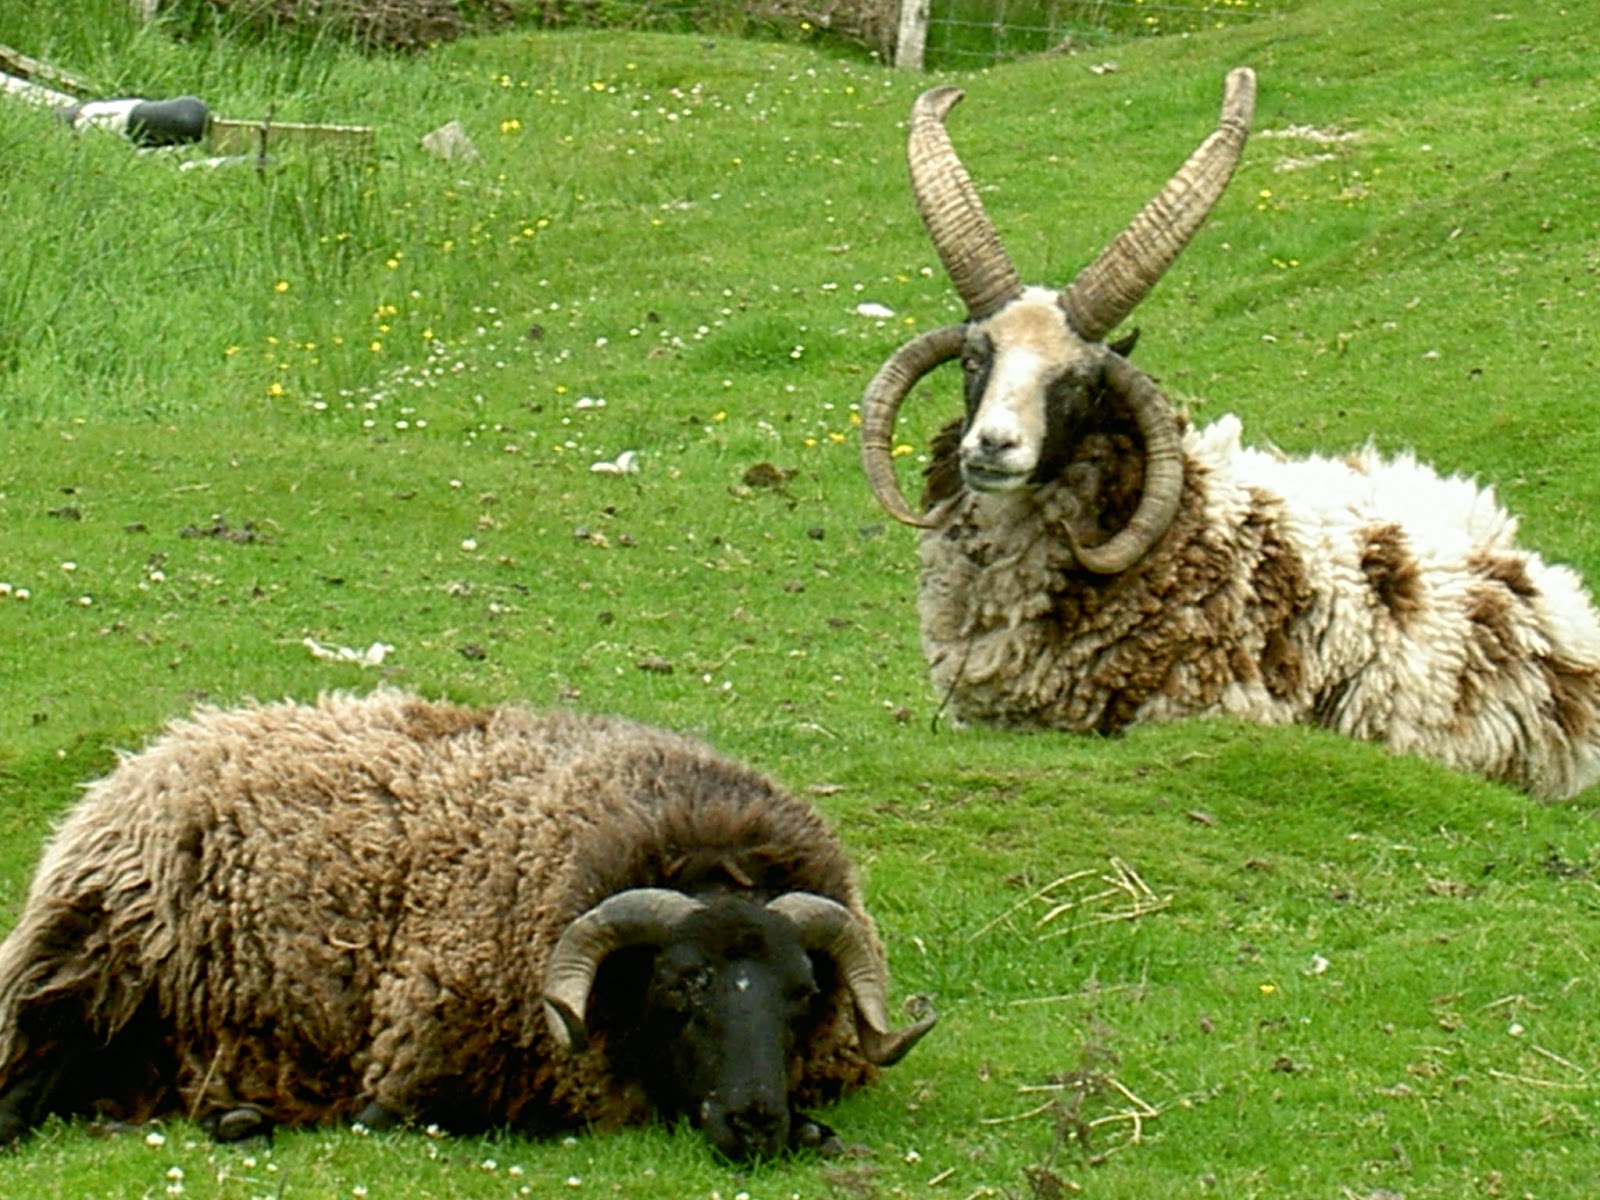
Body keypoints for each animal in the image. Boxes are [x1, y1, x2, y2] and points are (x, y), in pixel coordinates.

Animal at [0, 689, 935, 1160]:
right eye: (680, 984)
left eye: (803, 993)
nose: (755, 1122)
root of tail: (146, 760)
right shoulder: (417, 1068)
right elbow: (400, 1117)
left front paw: (808, 1131)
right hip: (83, 979)